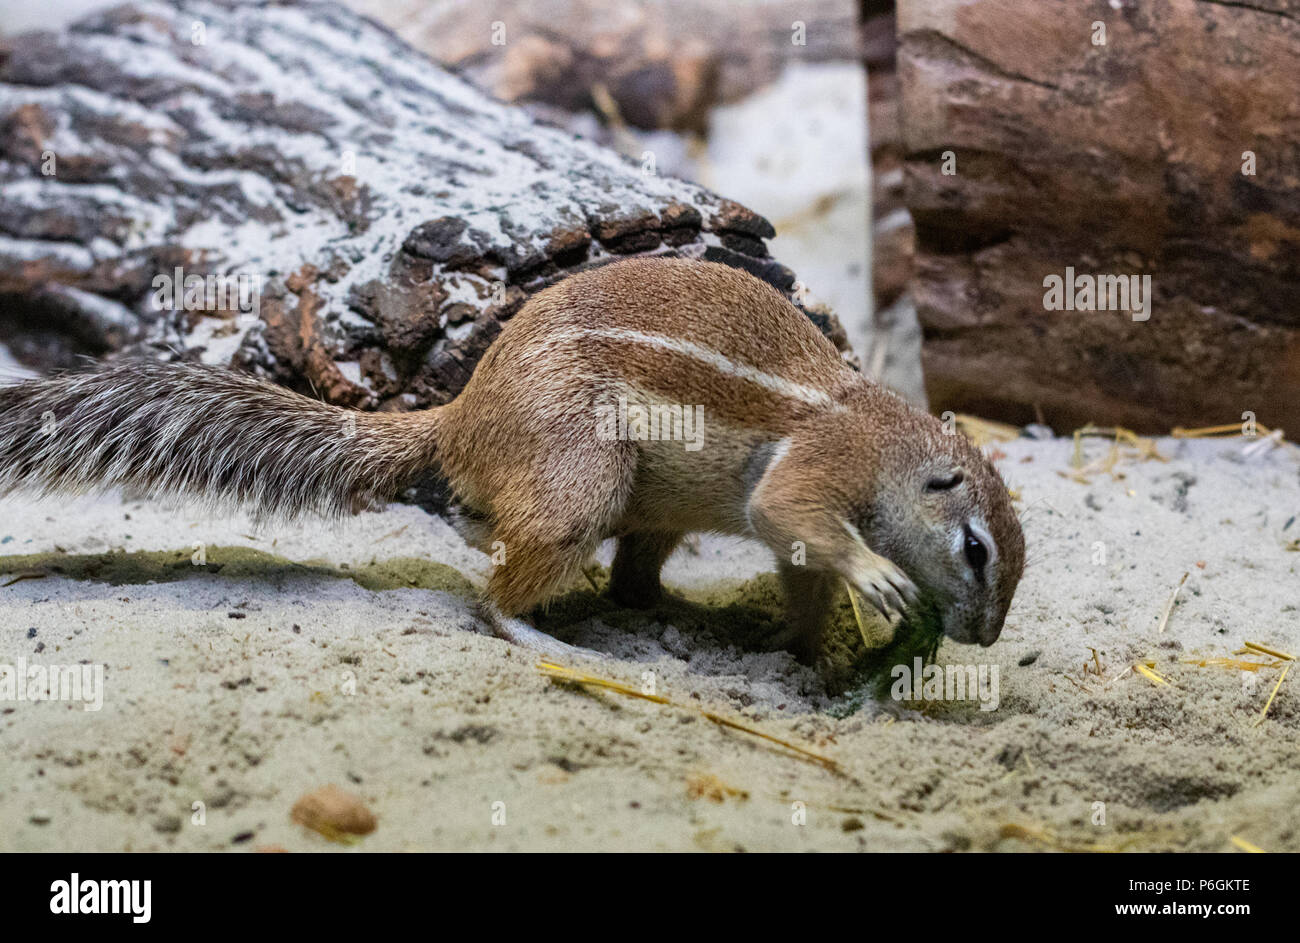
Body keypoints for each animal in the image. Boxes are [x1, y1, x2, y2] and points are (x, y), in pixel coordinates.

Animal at [0, 257, 1023, 662]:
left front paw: (806, 650)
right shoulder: (815, 468)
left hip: (648, 502)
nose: (982, 639)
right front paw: (878, 581)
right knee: (492, 597)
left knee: (626, 579)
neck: (886, 438)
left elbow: (803, 584)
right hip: (585, 479)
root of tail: (460, 418)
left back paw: (675, 615)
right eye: (976, 550)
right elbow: (795, 520)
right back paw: (543, 636)